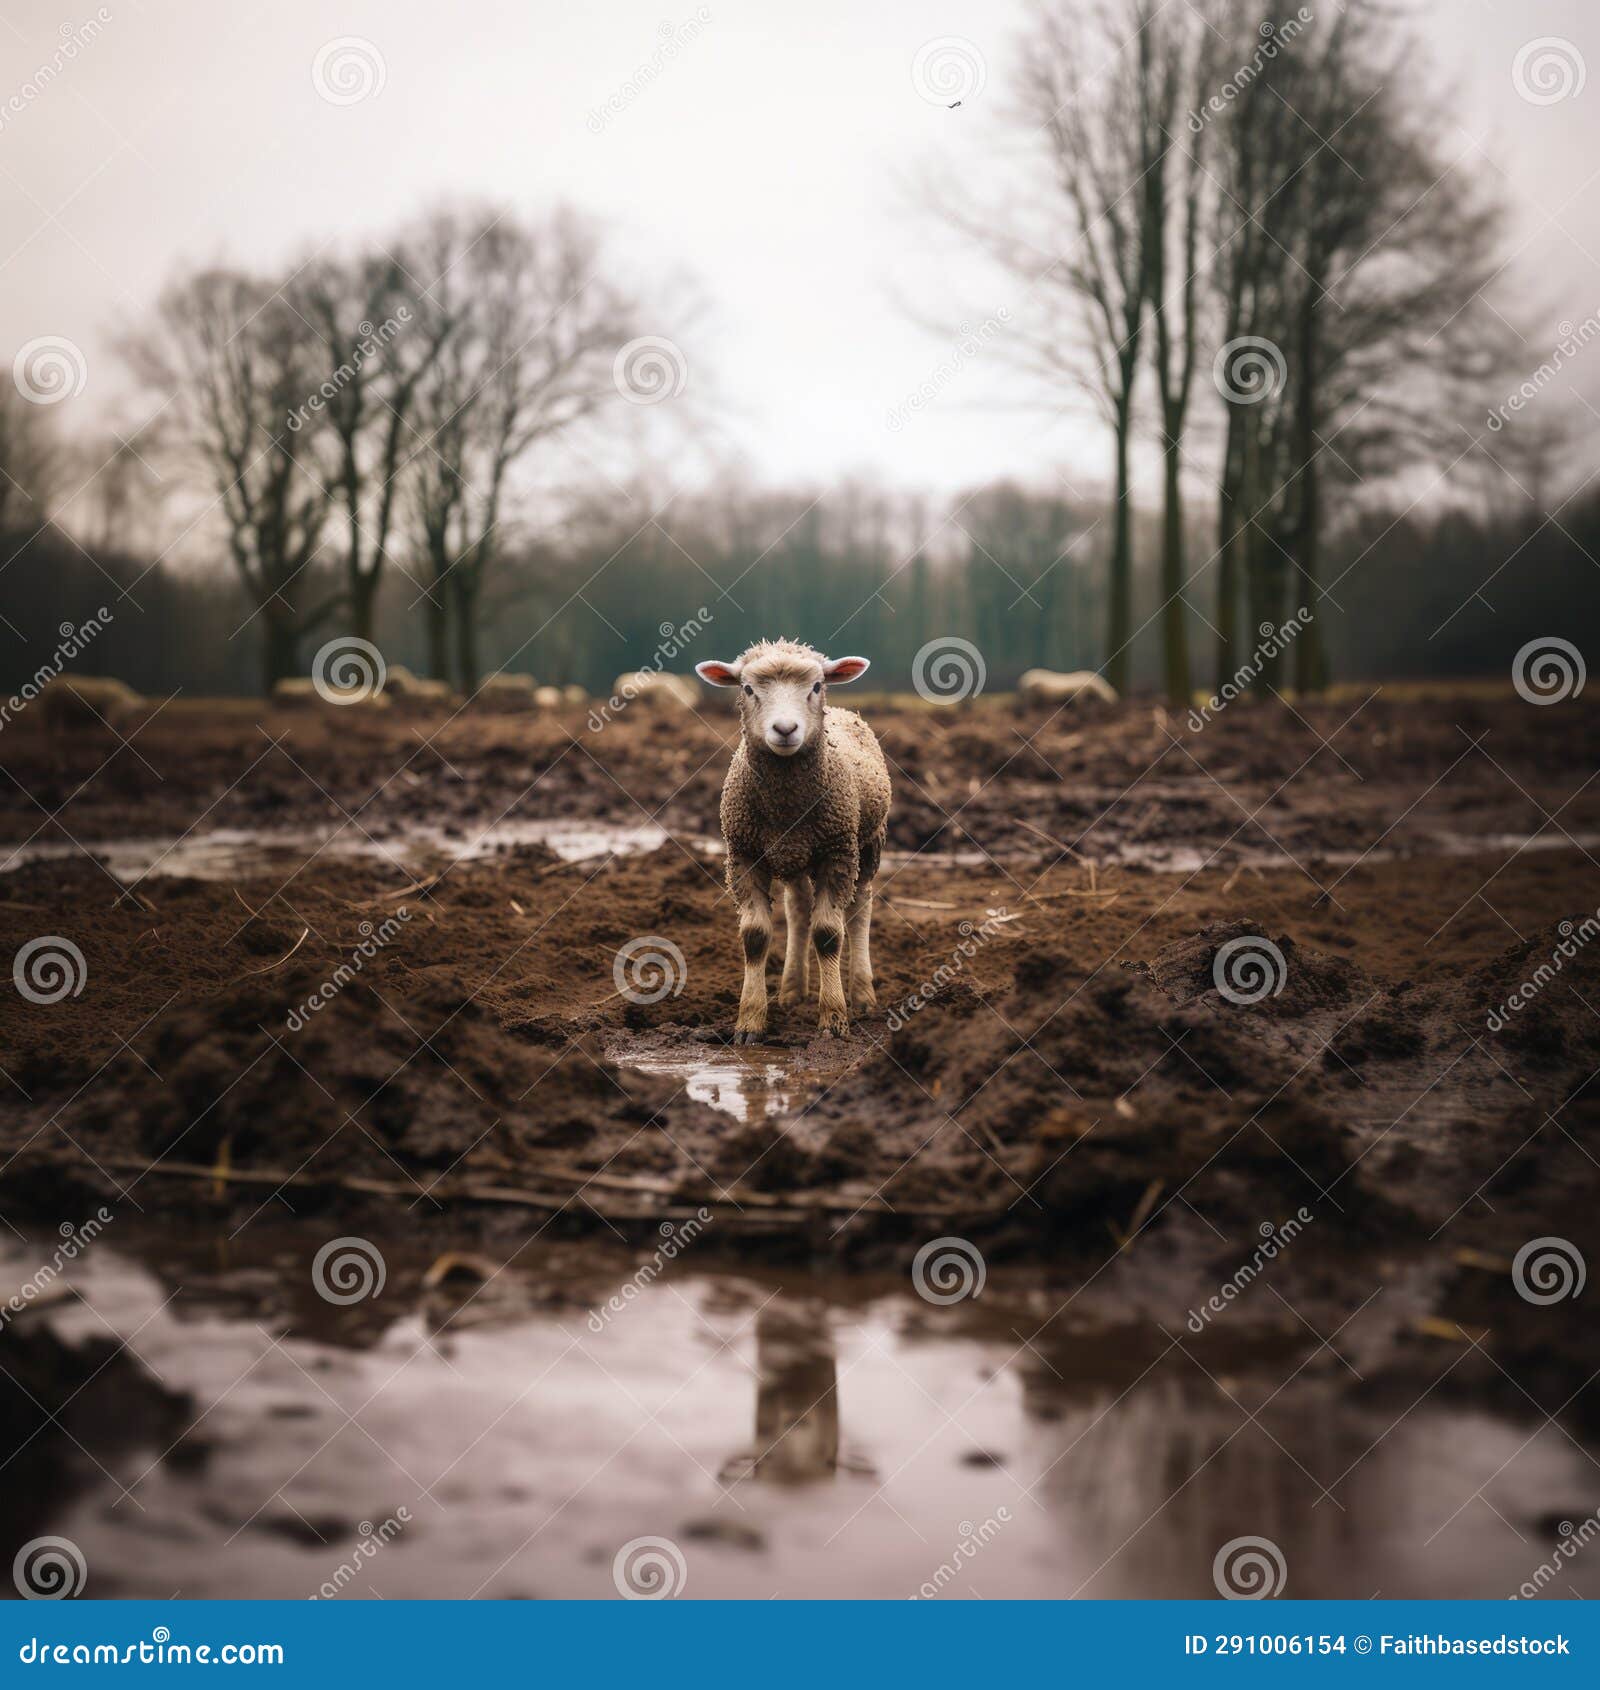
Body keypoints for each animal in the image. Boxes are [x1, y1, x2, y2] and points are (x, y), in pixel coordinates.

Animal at [696, 639, 888, 1041]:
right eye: (747, 688)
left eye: (816, 686)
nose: (785, 729)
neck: (786, 807)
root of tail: (845, 712)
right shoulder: (743, 853)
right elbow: (755, 936)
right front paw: (750, 1021)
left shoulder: (837, 851)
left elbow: (829, 934)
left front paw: (834, 1019)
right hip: (795, 857)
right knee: (798, 910)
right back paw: (792, 991)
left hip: (867, 843)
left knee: (860, 909)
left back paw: (862, 994)